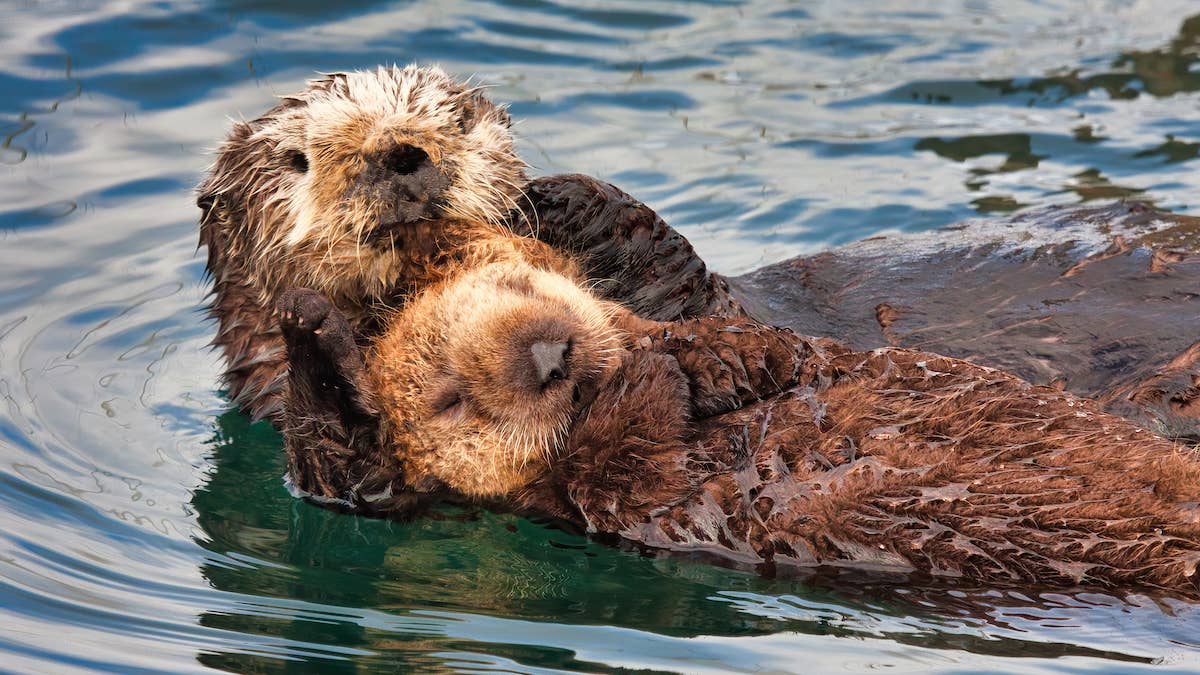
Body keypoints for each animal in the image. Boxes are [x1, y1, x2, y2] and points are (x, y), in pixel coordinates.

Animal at [277, 250, 1200, 597]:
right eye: (449, 400)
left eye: (516, 286)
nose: (549, 353)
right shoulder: (609, 499)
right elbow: (622, 463)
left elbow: (773, 347)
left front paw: (716, 355)